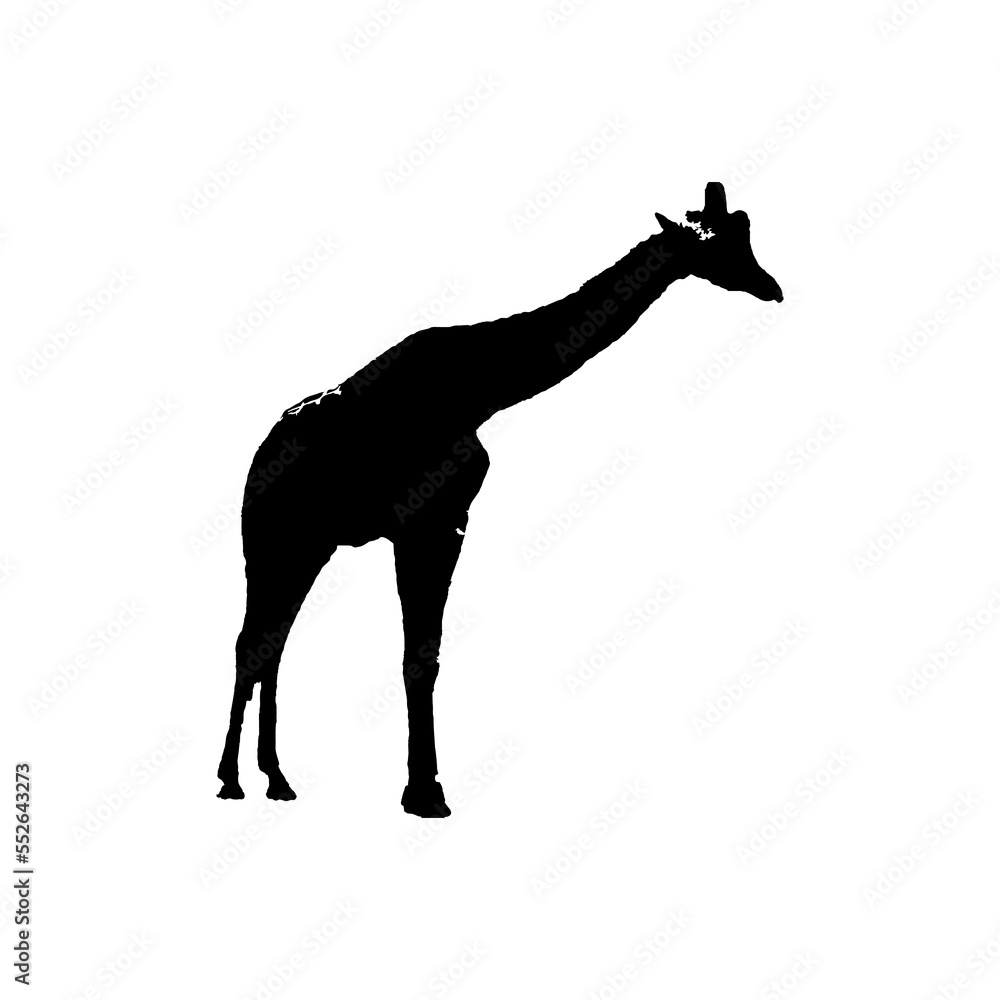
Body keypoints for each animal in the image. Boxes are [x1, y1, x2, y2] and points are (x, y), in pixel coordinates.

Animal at [216, 182, 782, 817]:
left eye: (745, 231)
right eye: (714, 245)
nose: (772, 287)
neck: (483, 388)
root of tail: (255, 463)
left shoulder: (448, 521)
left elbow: (426, 655)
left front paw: (421, 789)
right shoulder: (426, 523)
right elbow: (419, 658)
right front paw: (427, 793)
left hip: (310, 546)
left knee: (271, 645)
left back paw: (276, 779)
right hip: (275, 541)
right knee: (252, 643)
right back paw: (233, 780)